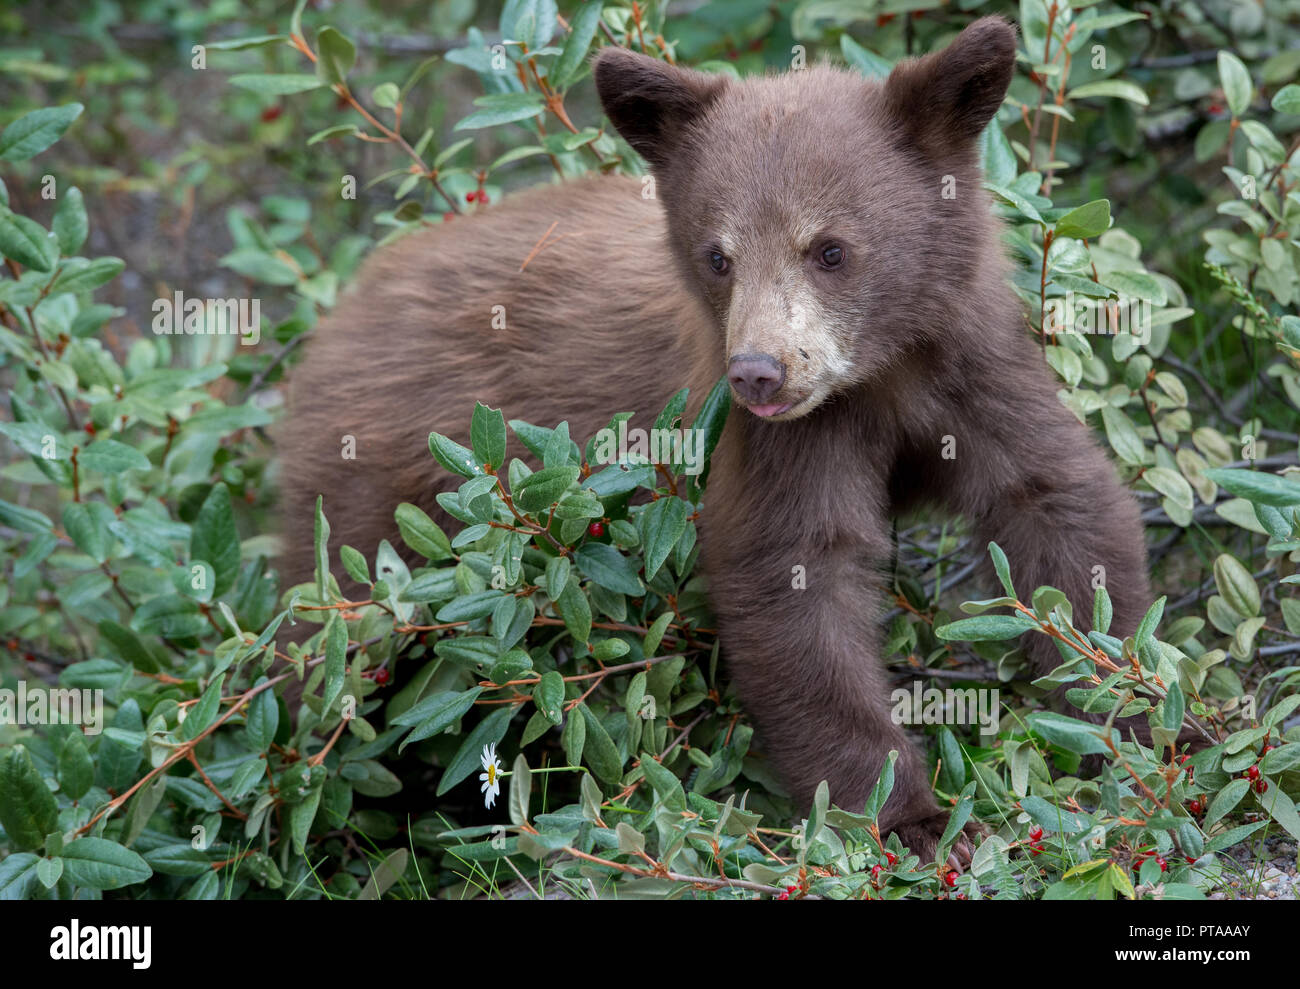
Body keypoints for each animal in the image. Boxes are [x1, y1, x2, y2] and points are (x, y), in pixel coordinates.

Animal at [276, 16, 1152, 865]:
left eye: (830, 248)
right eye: (718, 256)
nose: (759, 372)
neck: (878, 378)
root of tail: (335, 322)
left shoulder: (970, 366)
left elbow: (1057, 502)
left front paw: (1123, 726)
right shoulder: (778, 440)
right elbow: (794, 575)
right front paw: (912, 819)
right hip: (375, 509)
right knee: (321, 649)